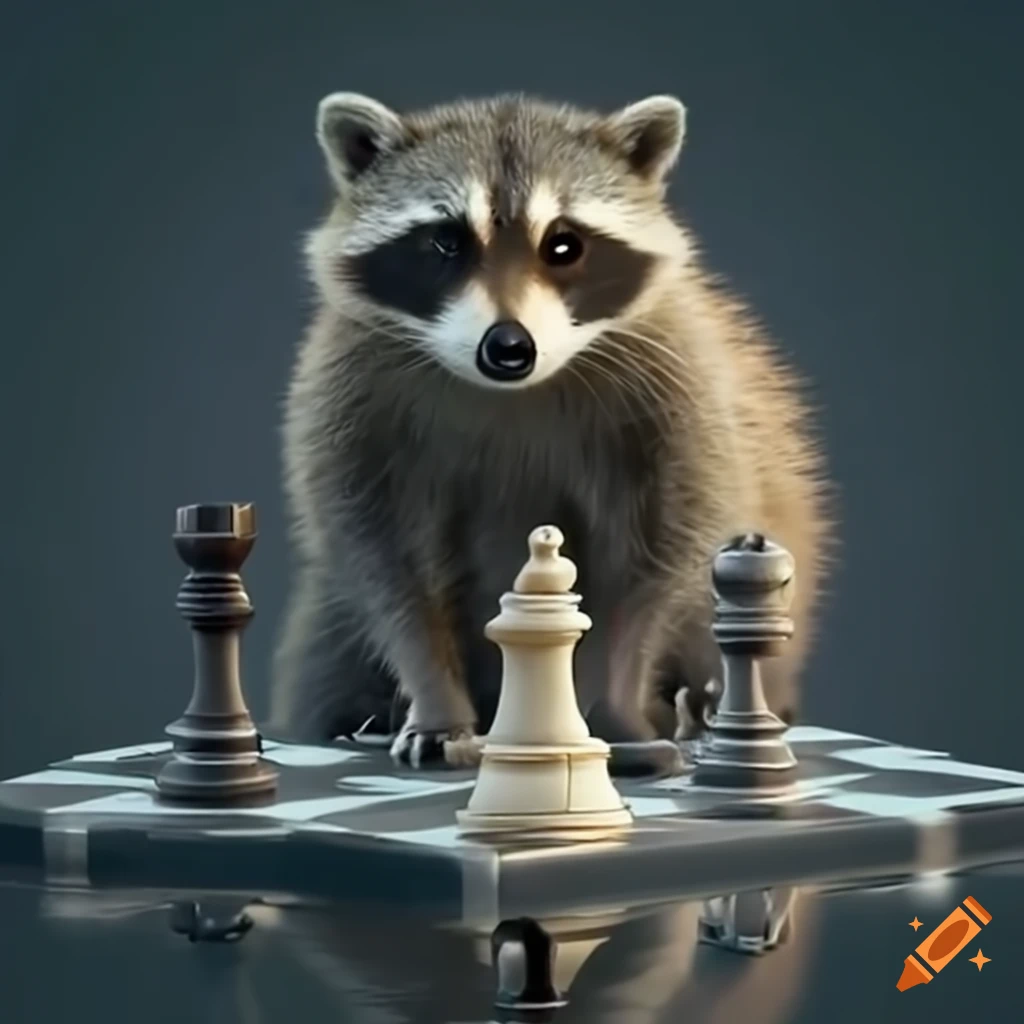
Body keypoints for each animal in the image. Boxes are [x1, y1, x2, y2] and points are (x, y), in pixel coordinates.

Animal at [270, 91, 832, 767]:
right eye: (446, 242)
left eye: (564, 245)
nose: (508, 348)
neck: (509, 392)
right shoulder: (352, 401)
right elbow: (387, 566)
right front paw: (435, 702)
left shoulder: (674, 395)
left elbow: (647, 569)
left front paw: (610, 712)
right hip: (325, 630)